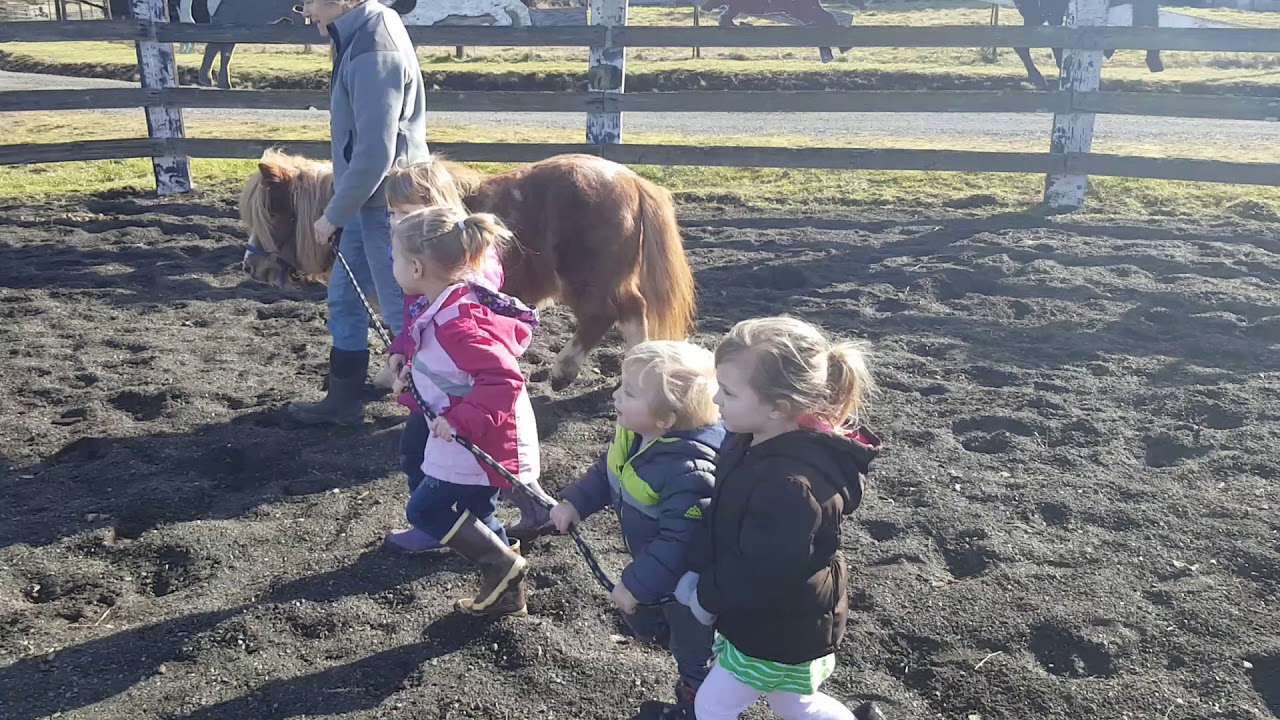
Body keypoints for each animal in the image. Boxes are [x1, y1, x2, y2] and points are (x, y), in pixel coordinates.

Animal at [239, 150, 698, 391]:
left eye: (274, 211)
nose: (252, 265)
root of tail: (632, 180)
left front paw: (390, 377)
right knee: (627, 313)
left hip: (592, 278)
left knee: (608, 315)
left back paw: (565, 370)